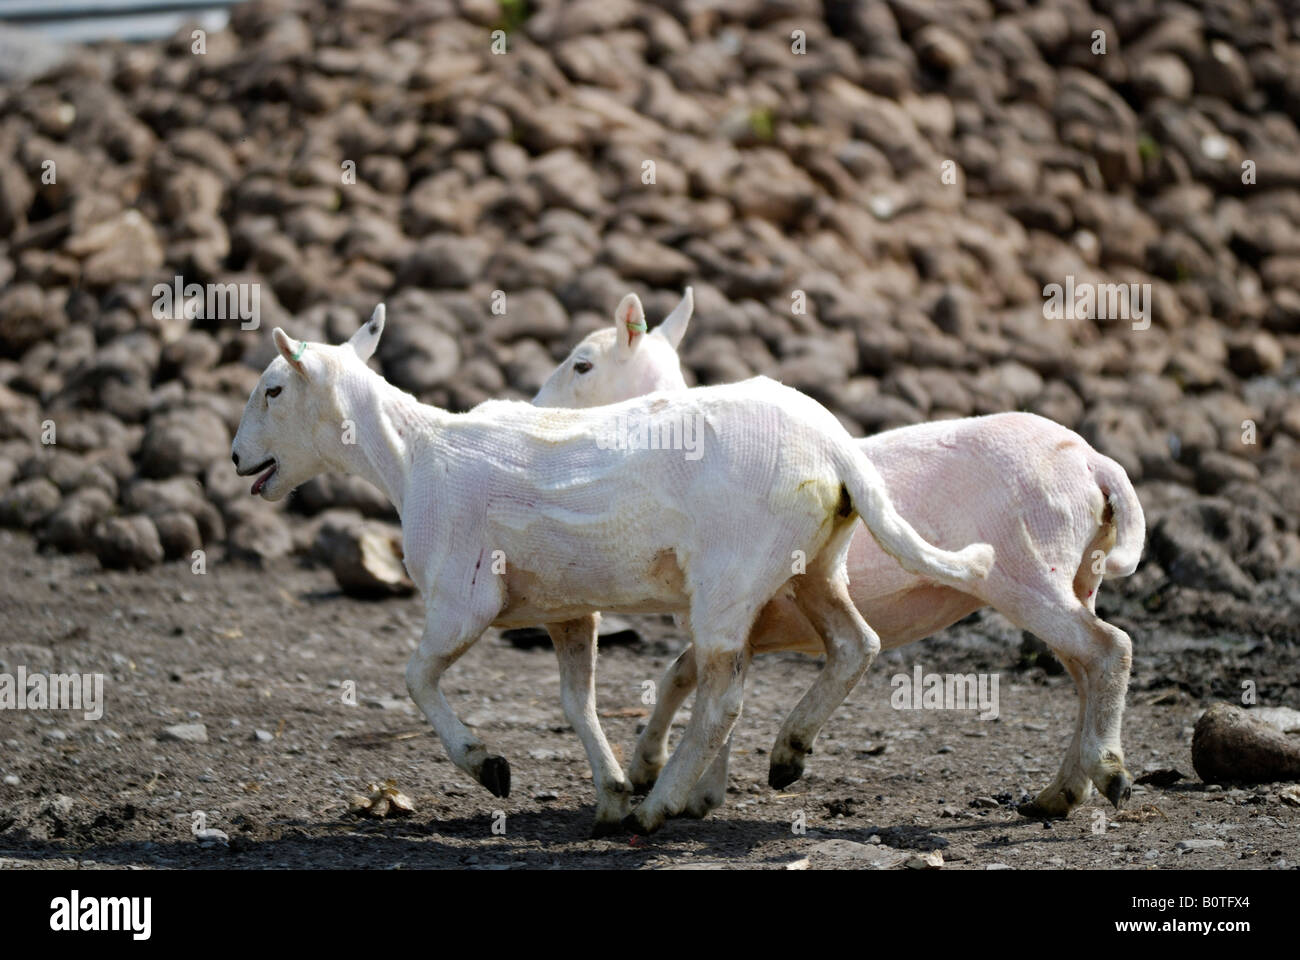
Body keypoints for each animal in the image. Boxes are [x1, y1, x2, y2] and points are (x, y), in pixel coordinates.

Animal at [231, 307, 995, 834]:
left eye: (273, 389)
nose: (238, 459)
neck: (412, 454)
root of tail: (835, 446)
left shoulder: (462, 598)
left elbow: (416, 677)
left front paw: (491, 767)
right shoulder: (568, 609)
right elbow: (578, 703)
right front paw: (609, 795)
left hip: (732, 577)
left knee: (725, 696)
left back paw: (665, 804)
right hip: (812, 564)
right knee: (853, 645)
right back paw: (787, 754)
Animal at [533, 290, 1144, 820]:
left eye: (582, 365)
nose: (538, 409)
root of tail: (1094, 462)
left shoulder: (730, 602)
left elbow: (689, 679)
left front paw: (670, 781)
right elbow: (685, 676)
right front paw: (681, 781)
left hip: (1029, 567)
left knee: (1109, 649)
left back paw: (1108, 774)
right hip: (1078, 572)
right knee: (1087, 671)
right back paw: (1061, 793)